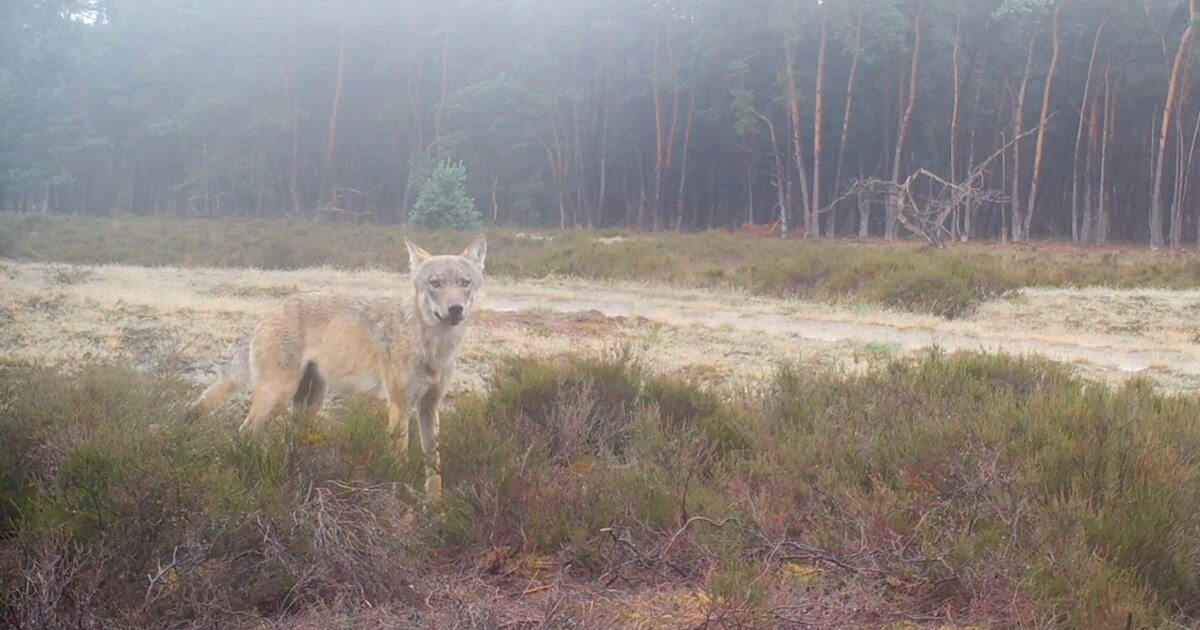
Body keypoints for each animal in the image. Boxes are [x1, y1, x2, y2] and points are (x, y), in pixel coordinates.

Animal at [189, 236, 487, 498]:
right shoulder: (400, 407)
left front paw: (436, 509)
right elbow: (400, 461)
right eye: (435, 283)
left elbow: (434, 468)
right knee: (244, 433)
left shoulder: (429, 406)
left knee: (290, 442)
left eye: (465, 283)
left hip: (310, 403)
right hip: (277, 397)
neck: (435, 346)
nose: (455, 309)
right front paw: (401, 508)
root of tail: (266, 315)